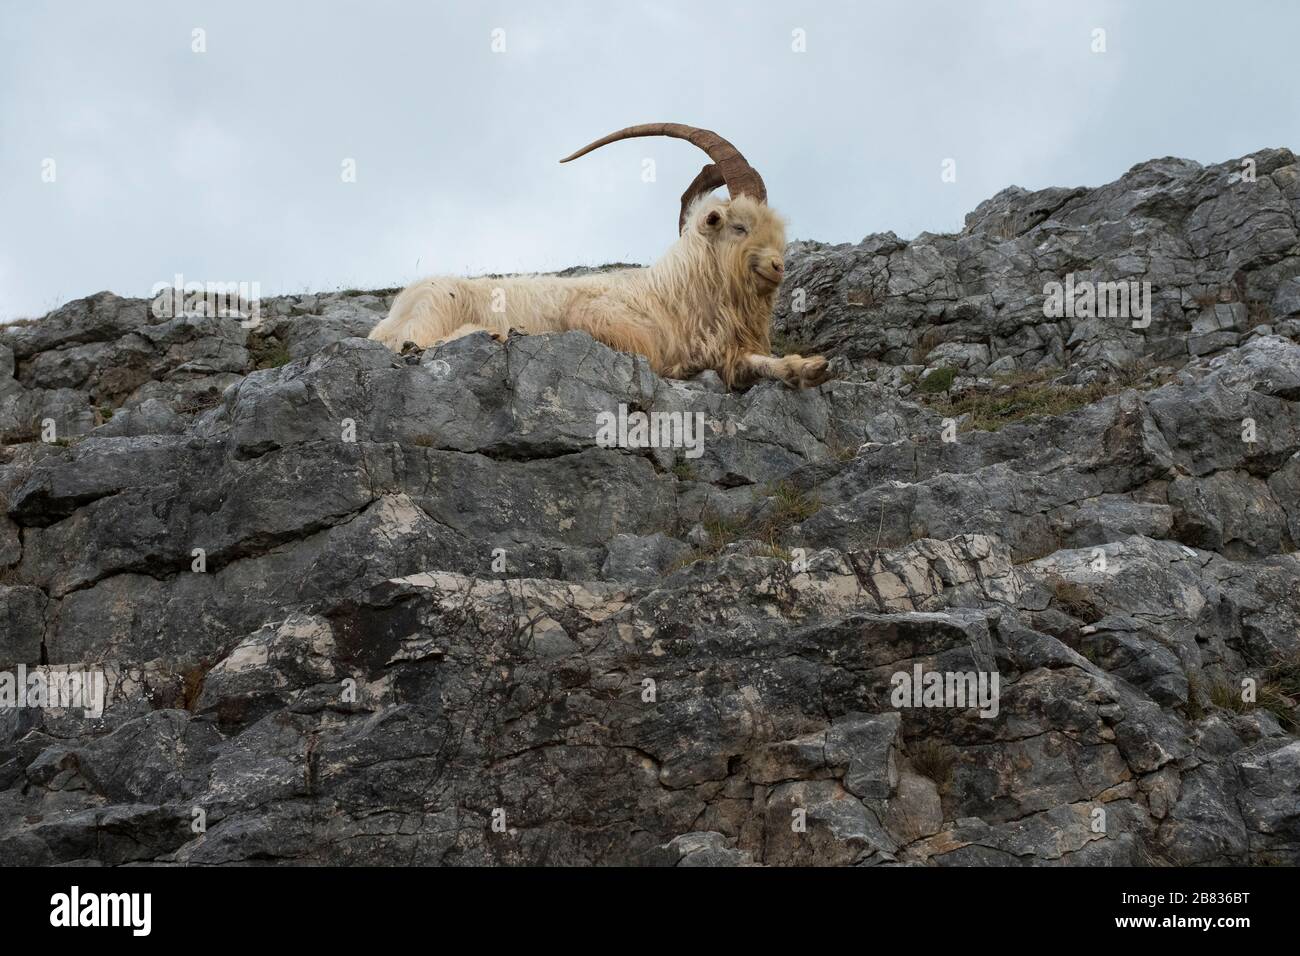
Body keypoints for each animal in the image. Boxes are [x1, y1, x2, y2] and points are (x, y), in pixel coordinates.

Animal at [368, 124, 830, 389]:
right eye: (739, 227)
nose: (778, 267)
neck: (670, 292)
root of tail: (388, 320)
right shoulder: (599, 318)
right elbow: (656, 358)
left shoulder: (726, 352)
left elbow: (751, 364)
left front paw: (807, 368)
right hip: (434, 307)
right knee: (414, 344)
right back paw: (496, 334)